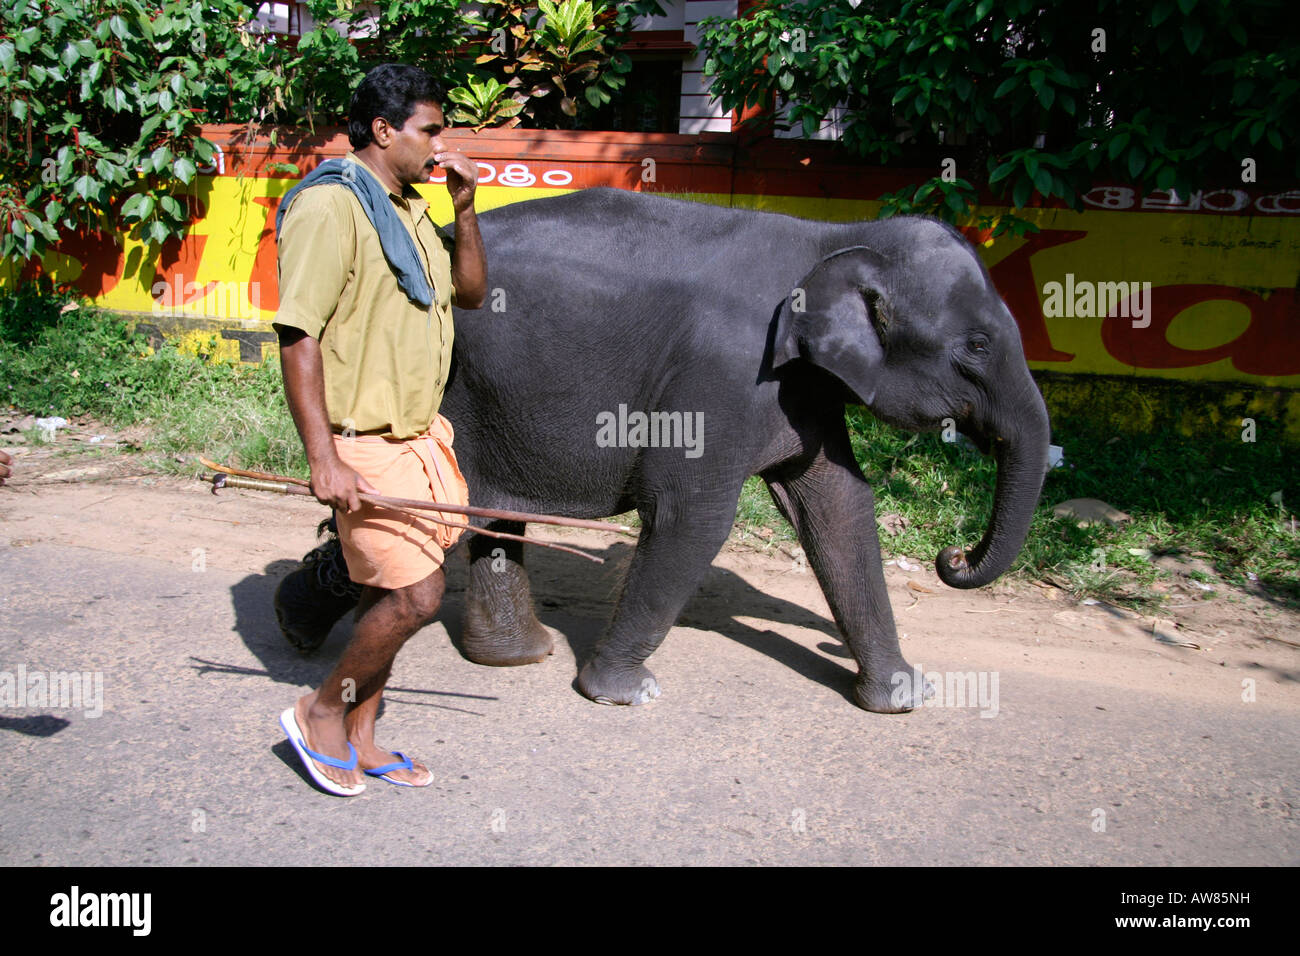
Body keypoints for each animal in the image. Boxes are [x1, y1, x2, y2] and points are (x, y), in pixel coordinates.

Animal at [275, 187, 1051, 714]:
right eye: (976, 346)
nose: (952, 559)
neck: (833, 236)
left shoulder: (800, 387)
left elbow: (840, 509)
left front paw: (901, 697)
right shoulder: (722, 371)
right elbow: (694, 518)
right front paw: (624, 694)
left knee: (480, 513)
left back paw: (506, 657)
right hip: (436, 386)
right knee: (427, 512)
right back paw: (301, 626)